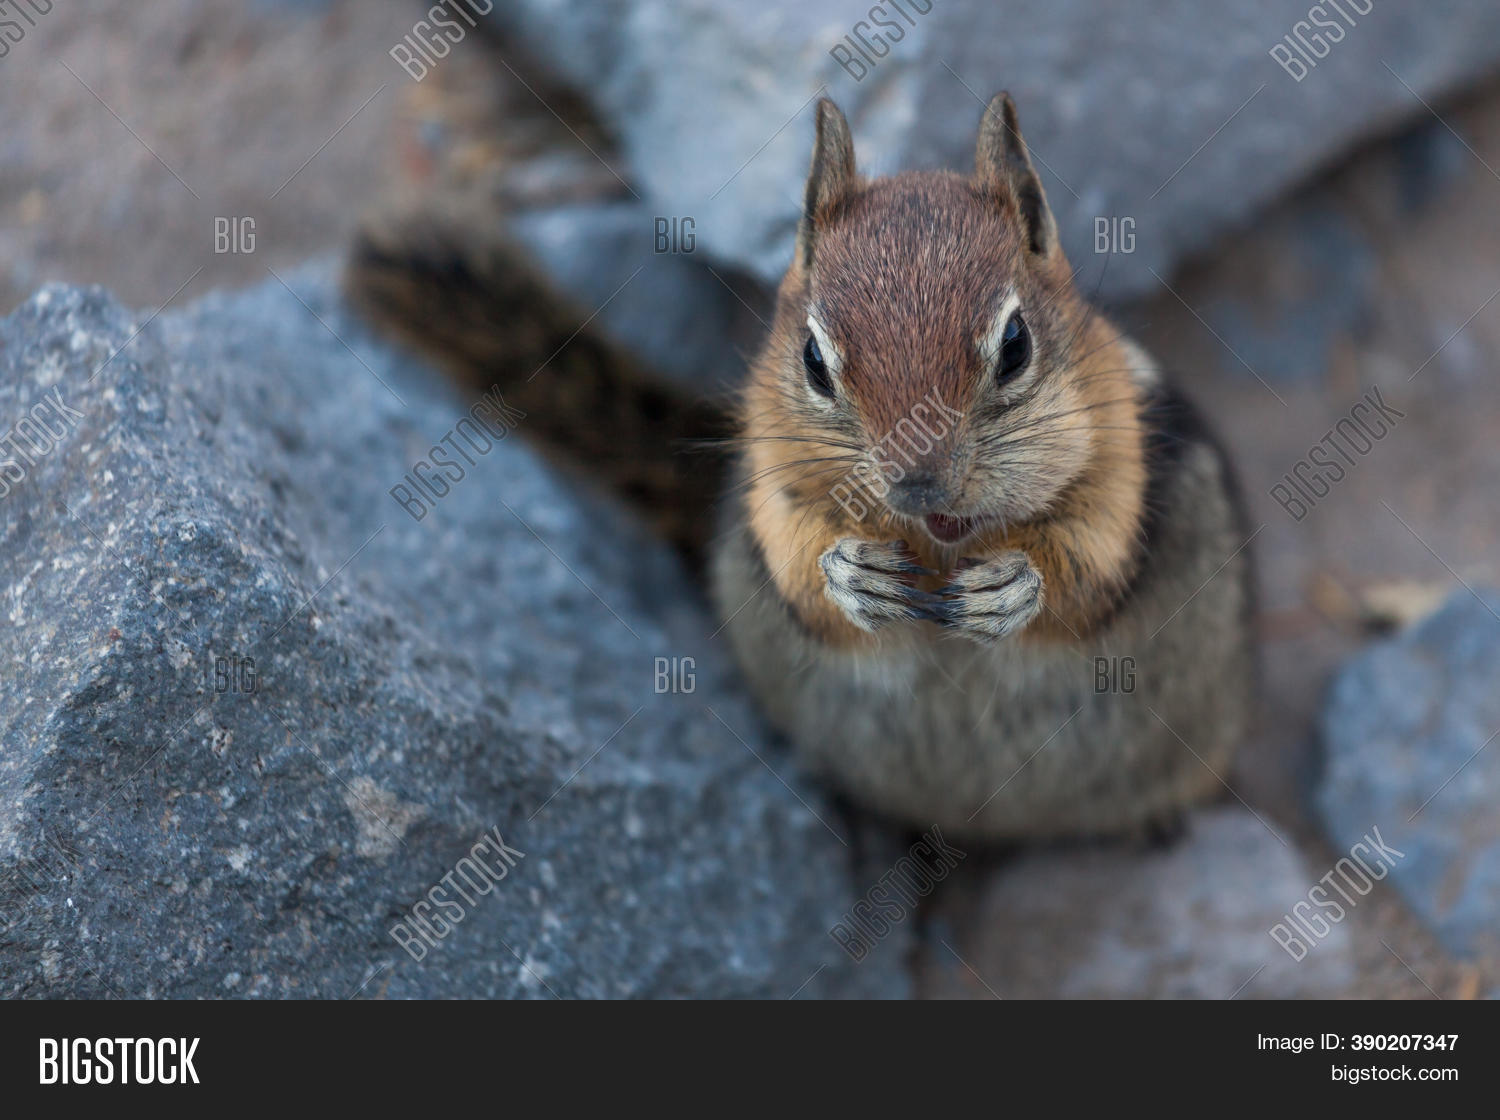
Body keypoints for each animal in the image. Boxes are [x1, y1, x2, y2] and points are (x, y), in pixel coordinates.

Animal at [345, 91, 1255, 842]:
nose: (916, 481)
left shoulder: (1125, 456)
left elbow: (1092, 559)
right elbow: (796, 563)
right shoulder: (767, 477)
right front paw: (849, 575)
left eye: (1017, 345)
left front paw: (1014, 585)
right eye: (815, 360)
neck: (941, 540)